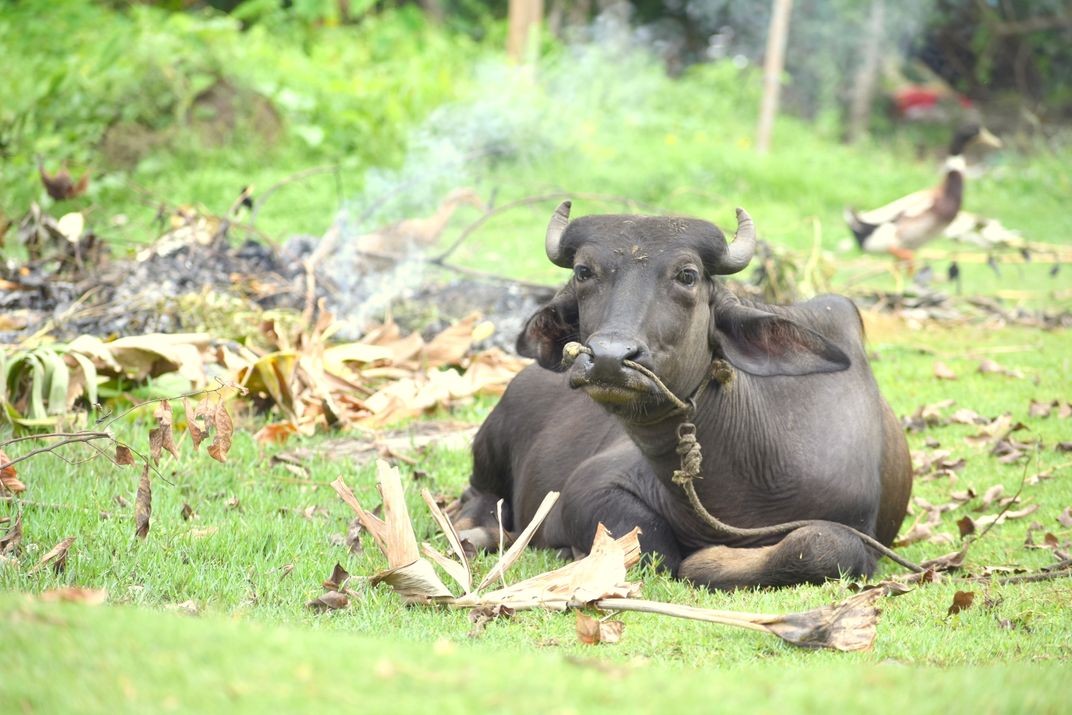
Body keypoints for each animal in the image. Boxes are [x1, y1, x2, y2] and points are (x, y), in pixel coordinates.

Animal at [449, 203, 912, 589]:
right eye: (583, 271)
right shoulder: (590, 486)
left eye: (687, 275)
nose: (610, 358)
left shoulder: (861, 531)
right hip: (490, 442)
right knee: (478, 493)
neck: (759, 464)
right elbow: (651, 548)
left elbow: (823, 545)